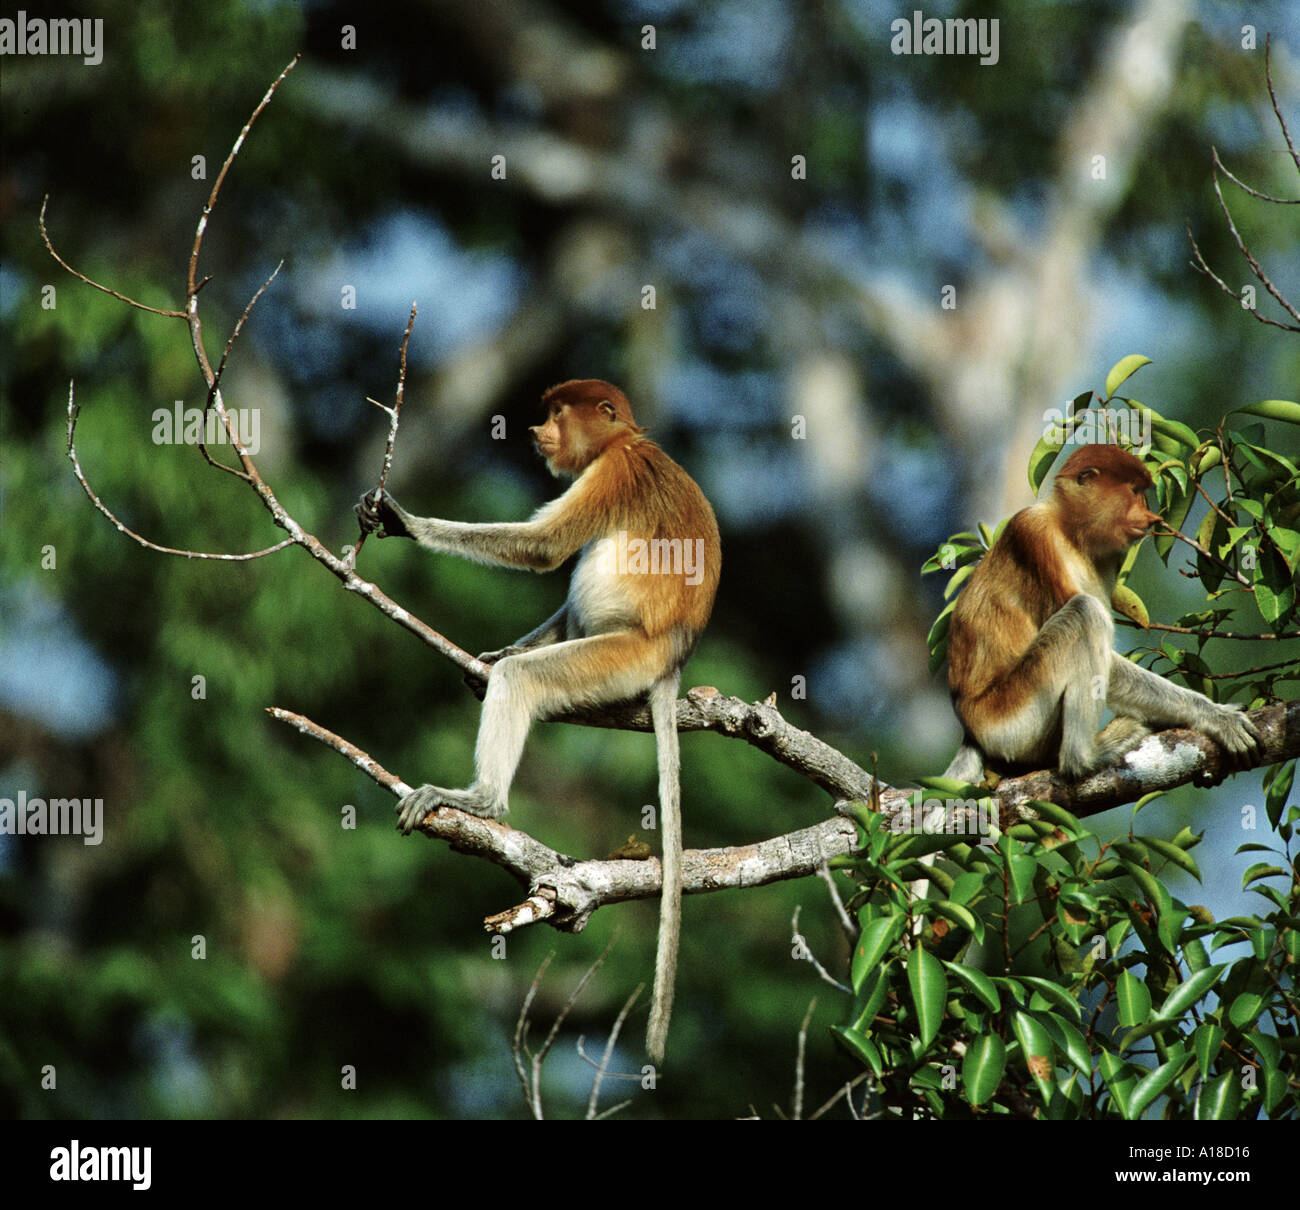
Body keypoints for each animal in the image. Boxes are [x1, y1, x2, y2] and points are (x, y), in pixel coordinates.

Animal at [355, 379, 720, 1062]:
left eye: (556, 413)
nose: (534, 431)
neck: (624, 440)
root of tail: (672, 658)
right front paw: (490, 657)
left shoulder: (611, 474)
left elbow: (544, 548)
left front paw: (403, 521)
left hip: (618, 656)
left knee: (530, 677)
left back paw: (480, 800)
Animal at [942, 443, 1259, 782]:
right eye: (1133, 491)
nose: (1151, 517)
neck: (1068, 530)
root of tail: (971, 729)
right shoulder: (1033, 534)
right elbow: (1106, 655)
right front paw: (1217, 715)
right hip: (1010, 720)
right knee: (1083, 613)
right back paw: (1084, 757)